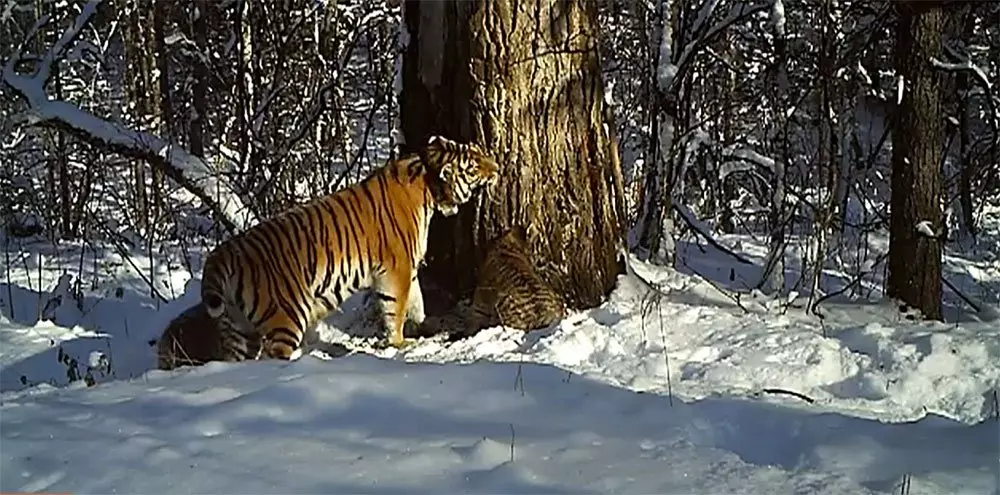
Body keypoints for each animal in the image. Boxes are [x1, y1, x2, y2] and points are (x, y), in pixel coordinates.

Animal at [201, 136, 500, 360]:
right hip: (285, 316)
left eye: (480, 153)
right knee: (272, 355)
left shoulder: (410, 268)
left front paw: (422, 327)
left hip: (238, 328)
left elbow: (417, 302)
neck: (428, 182)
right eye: (474, 166)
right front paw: (399, 342)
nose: (497, 168)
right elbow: (397, 307)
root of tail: (220, 254)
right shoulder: (397, 268)